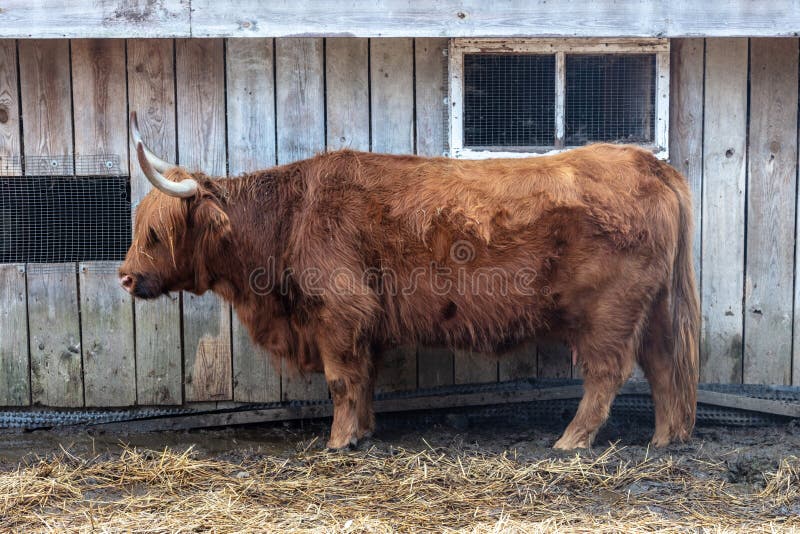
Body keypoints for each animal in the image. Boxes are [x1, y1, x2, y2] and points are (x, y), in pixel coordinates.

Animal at [120, 111, 699, 450]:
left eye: (154, 232)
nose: (125, 277)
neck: (290, 217)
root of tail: (649, 164)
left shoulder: (339, 311)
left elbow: (340, 380)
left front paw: (338, 443)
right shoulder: (363, 322)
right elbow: (363, 379)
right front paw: (363, 431)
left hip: (608, 313)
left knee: (608, 373)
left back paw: (571, 442)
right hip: (655, 308)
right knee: (664, 364)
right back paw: (666, 439)